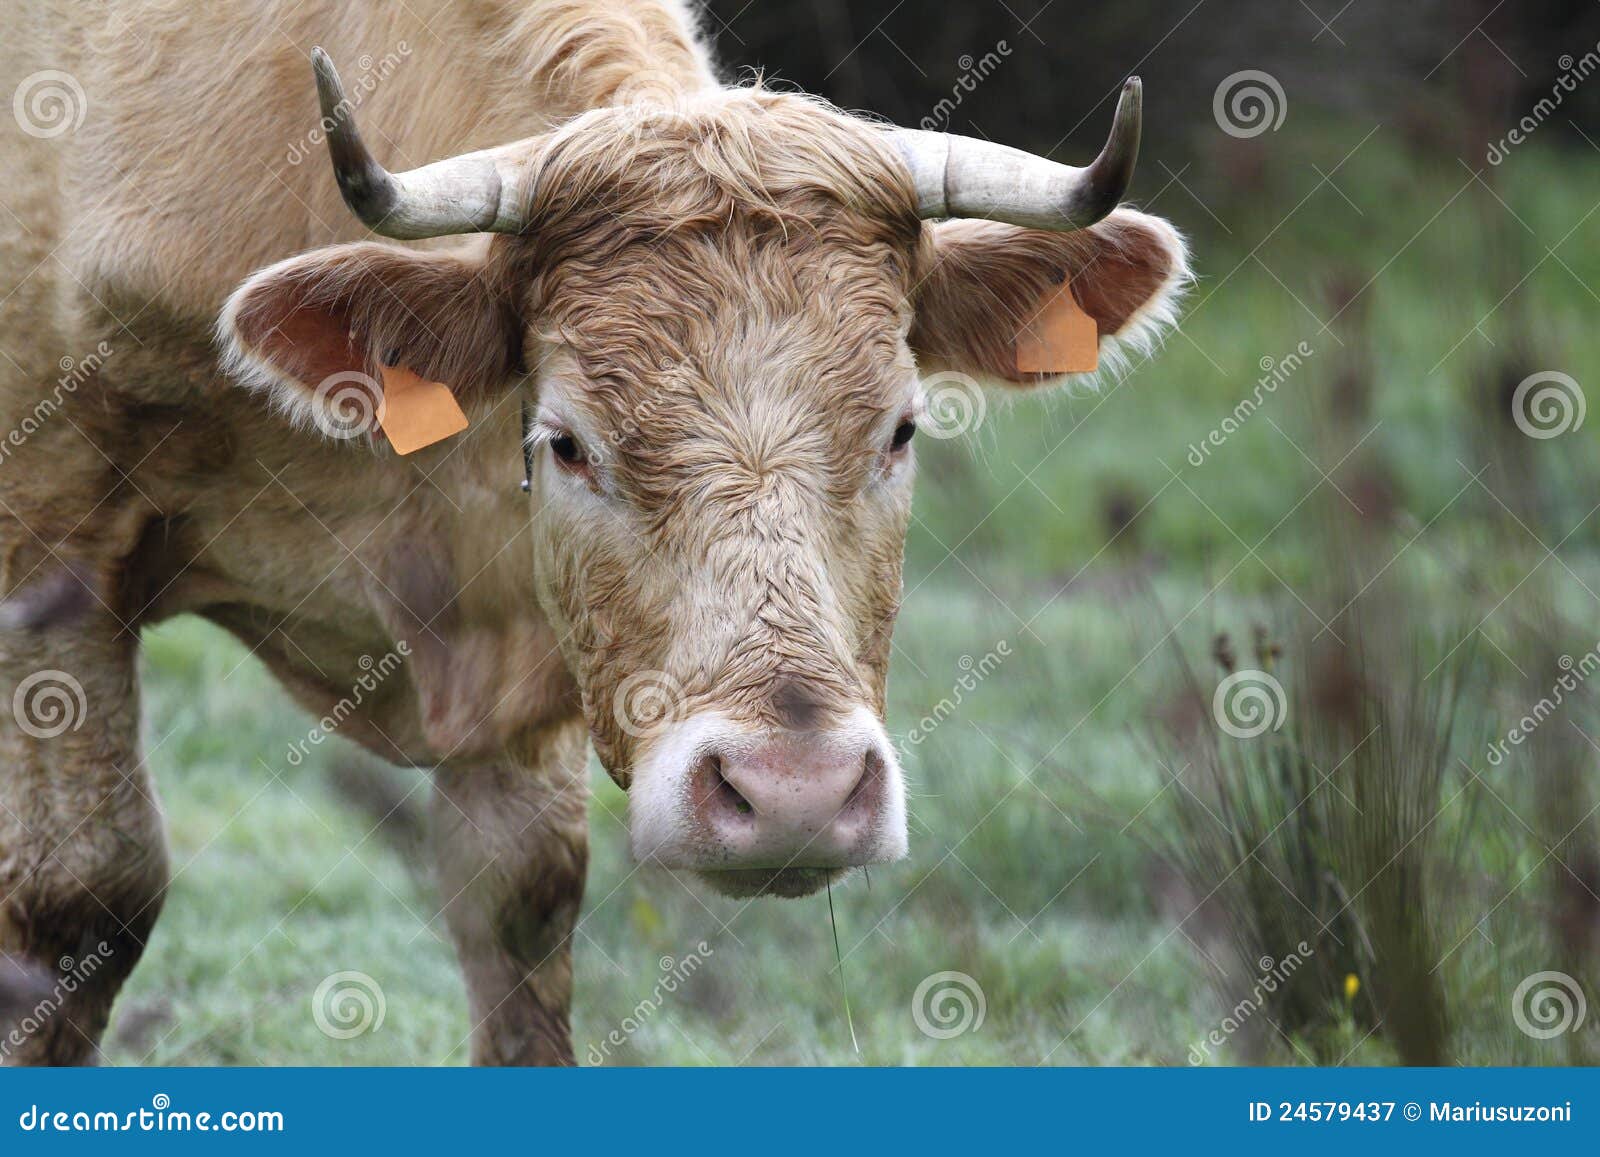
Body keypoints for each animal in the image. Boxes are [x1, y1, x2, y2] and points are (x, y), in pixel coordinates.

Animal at [0, 0, 1188, 1065]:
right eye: (568, 443)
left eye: (901, 429)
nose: (794, 793)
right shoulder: (47, 555)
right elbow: (81, 896)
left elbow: (518, 910)